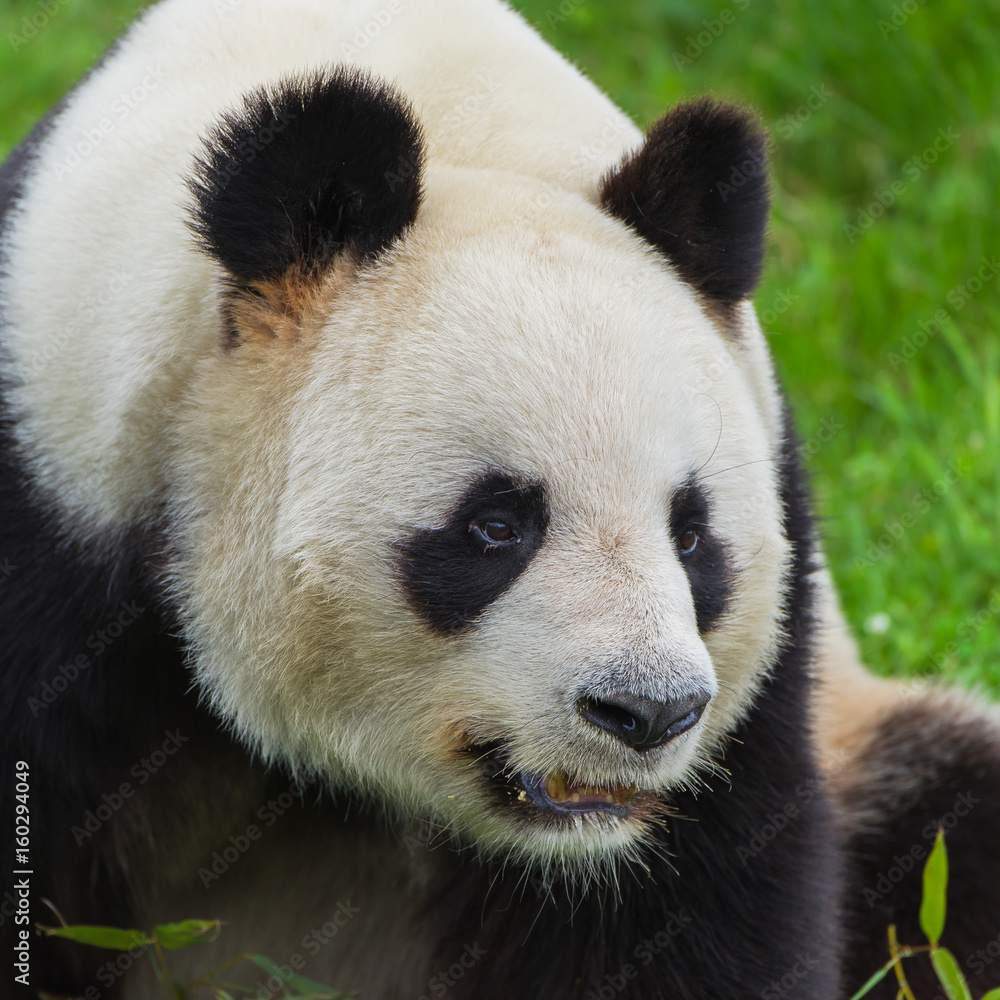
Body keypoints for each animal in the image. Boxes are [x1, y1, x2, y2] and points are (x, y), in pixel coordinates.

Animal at [1, 1, 998, 997]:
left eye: (691, 536)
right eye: (495, 526)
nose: (647, 713)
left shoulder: (770, 672)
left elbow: (695, 901)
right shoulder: (56, 499)